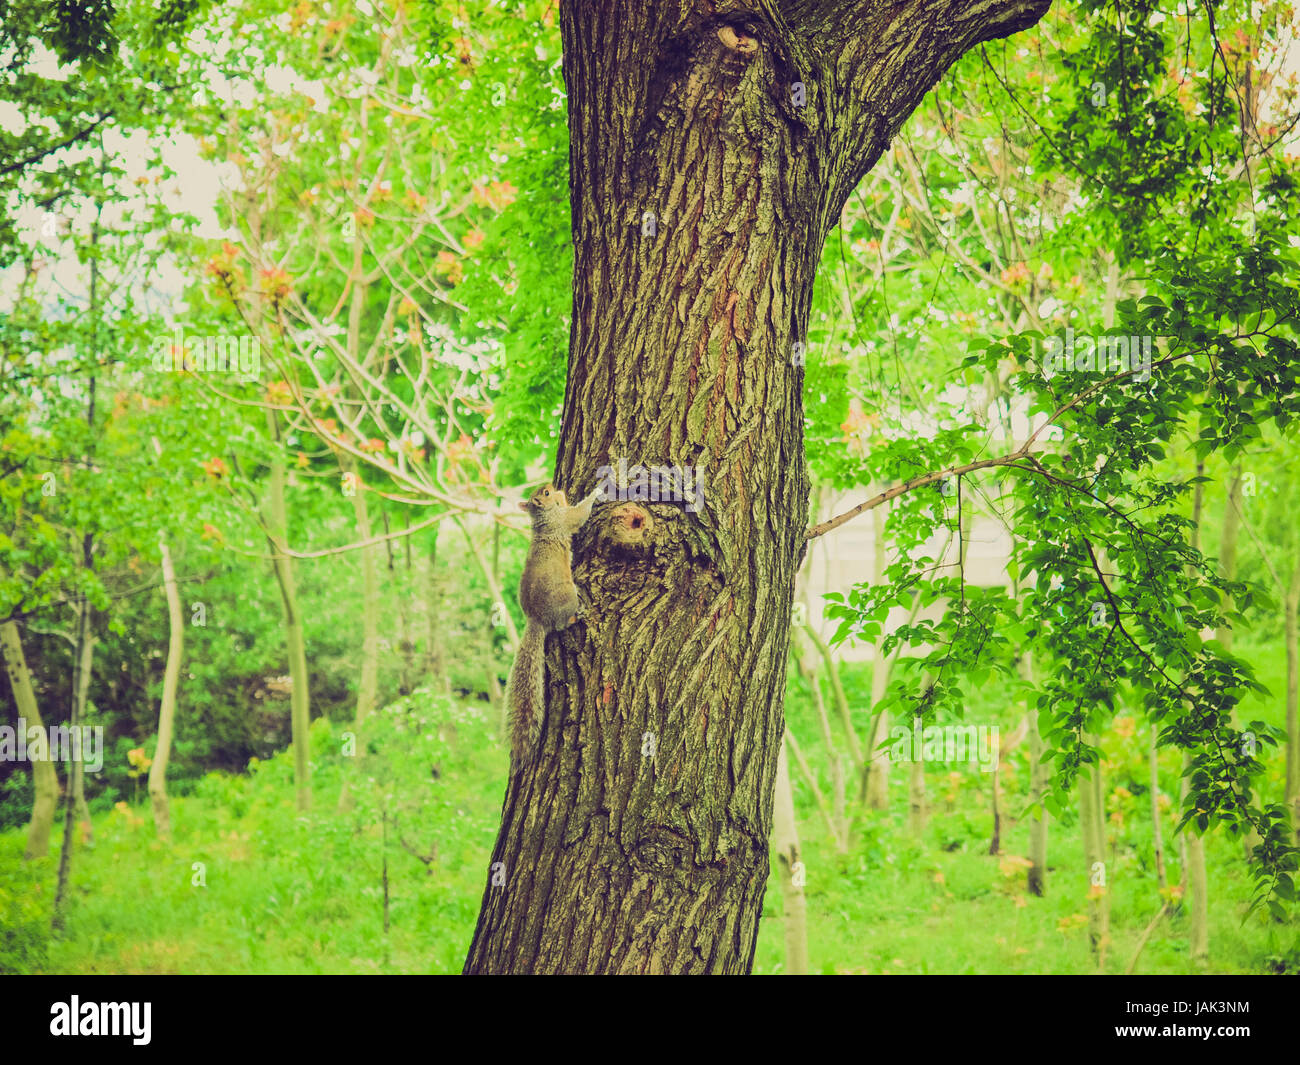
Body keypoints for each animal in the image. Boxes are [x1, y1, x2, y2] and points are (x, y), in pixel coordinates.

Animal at [507, 481, 602, 771]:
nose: (551, 484)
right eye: (545, 494)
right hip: (567, 597)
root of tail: (536, 619)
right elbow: (580, 514)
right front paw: (599, 490)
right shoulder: (565, 521)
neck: (544, 519)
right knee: (561, 625)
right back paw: (577, 614)